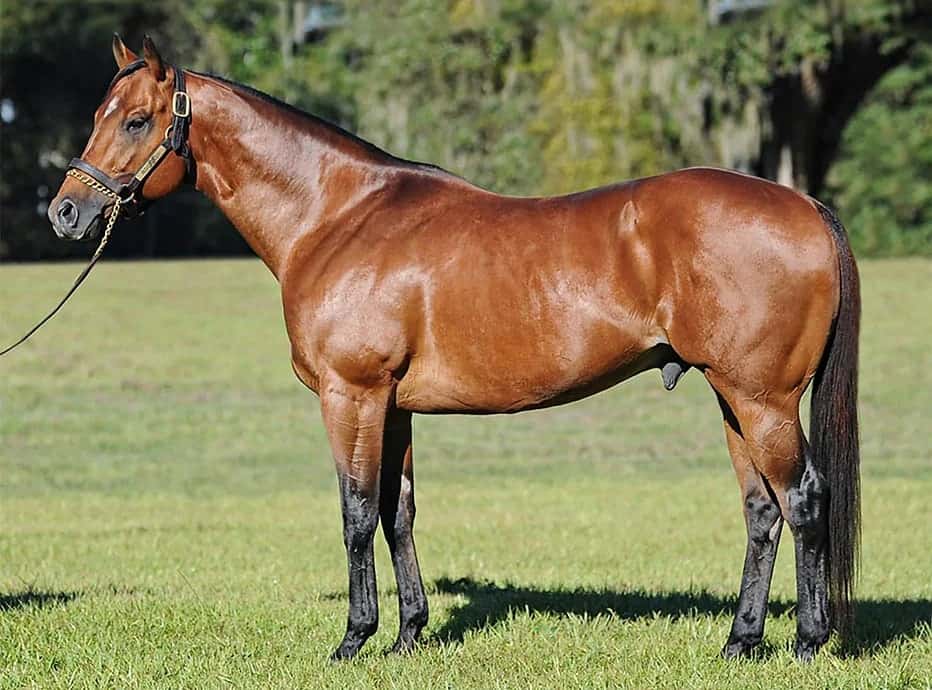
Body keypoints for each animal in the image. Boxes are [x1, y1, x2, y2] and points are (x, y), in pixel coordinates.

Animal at [47, 35, 860, 662]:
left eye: (138, 120)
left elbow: (355, 511)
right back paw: (740, 642)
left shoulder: (352, 395)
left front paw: (353, 639)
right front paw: (409, 636)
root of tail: (805, 205)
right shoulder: (394, 406)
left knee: (803, 498)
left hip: (762, 401)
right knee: (761, 510)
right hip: (732, 398)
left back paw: (806, 642)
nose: (66, 213)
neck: (336, 216)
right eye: (99, 116)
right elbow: (396, 511)